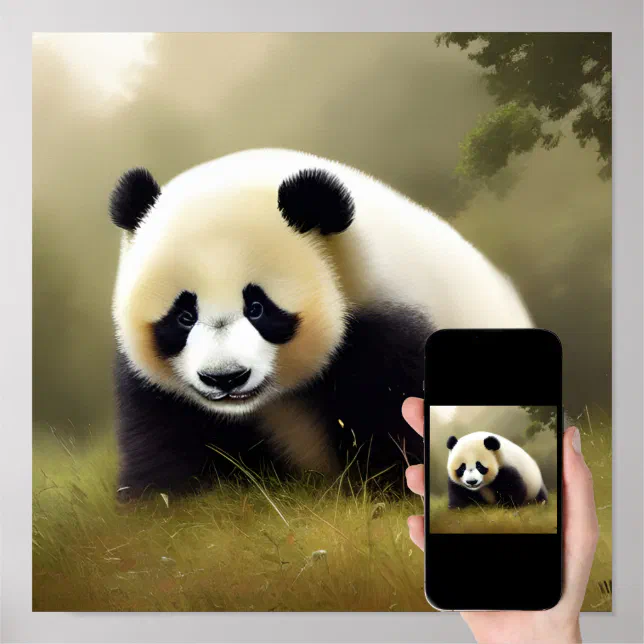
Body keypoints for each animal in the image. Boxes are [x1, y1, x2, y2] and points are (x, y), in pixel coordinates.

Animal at [108, 148, 533, 500]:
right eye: (184, 316)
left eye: (258, 308)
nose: (225, 377)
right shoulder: (157, 390)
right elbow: (165, 436)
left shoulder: (388, 326)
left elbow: (392, 418)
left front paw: (383, 491)